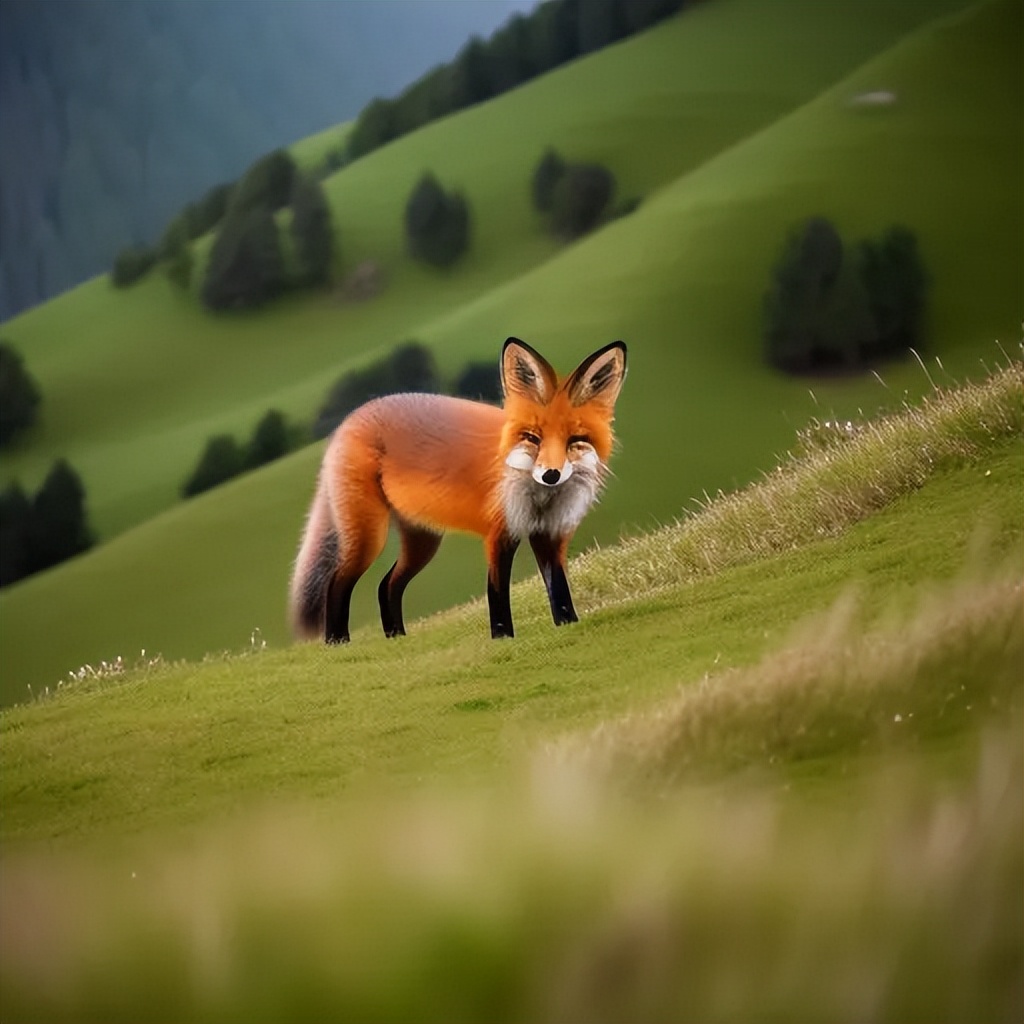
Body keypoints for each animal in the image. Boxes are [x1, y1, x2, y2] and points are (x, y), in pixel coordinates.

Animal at [289, 337, 627, 642]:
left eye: (575, 440)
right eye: (533, 437)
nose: (551, 475)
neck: (541, 500)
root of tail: (350, 418)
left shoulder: (550, 535)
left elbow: (558, 589)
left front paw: (569, 626)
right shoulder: (499, 534)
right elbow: (497, 592)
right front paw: (502, 638)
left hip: (423, 542)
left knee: (386, 585)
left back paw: (396, 637)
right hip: (369, 536)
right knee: (337, 583)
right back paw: (337, 642)